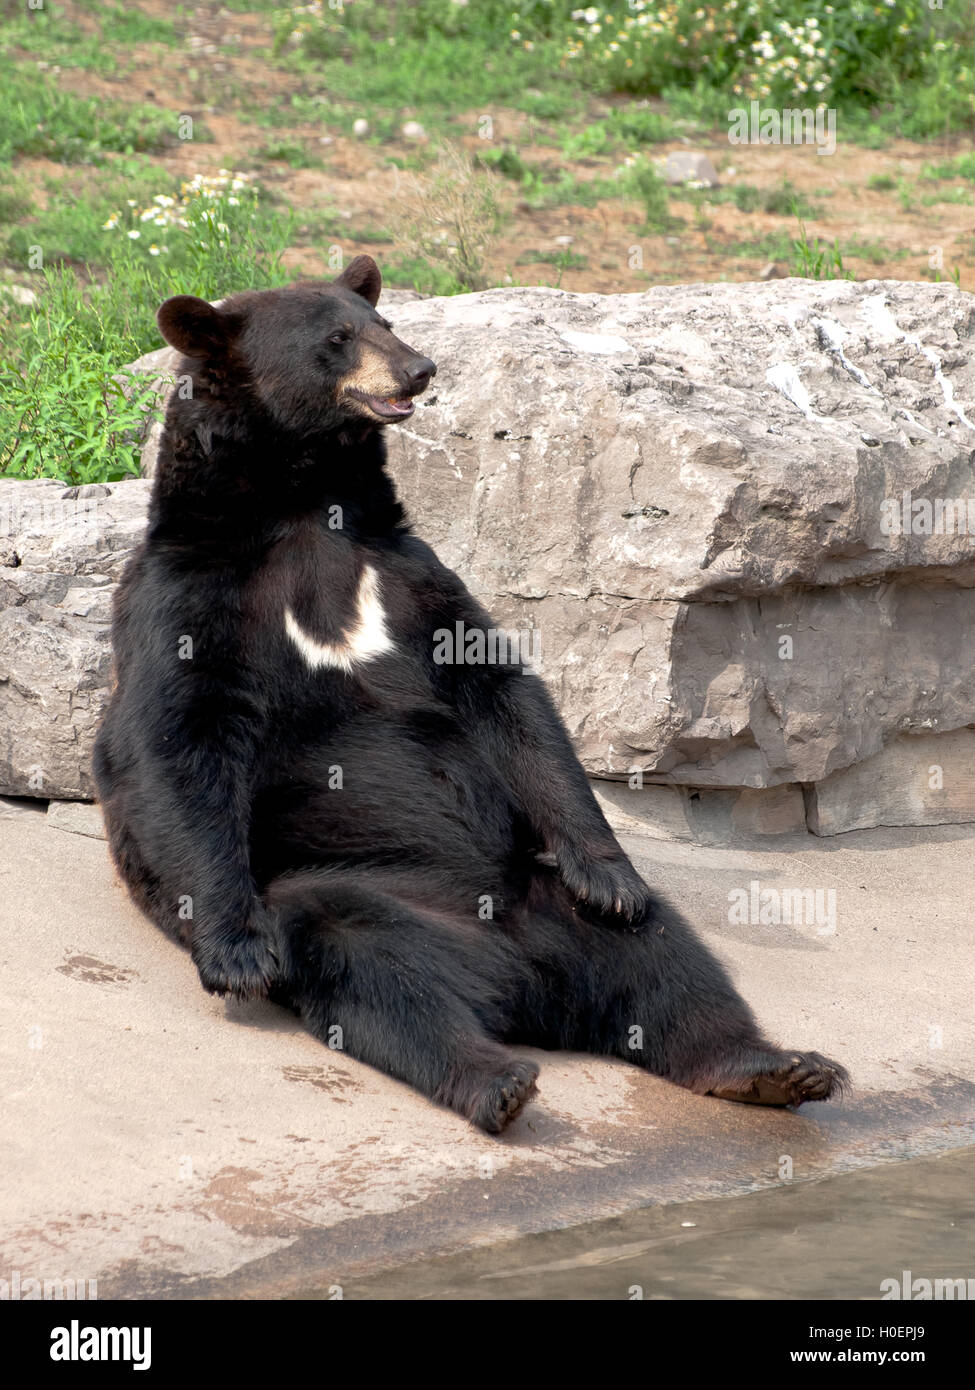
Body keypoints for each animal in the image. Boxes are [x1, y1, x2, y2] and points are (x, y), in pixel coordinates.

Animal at [93, 255, 848, 1134]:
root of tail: (519, 980)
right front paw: (236, 952)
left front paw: (610, 872)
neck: (304, 507)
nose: (420, 367)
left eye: (381, 321)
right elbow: (179, 734)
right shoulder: (193, 593)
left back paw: (769, 1065)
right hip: (347, 894)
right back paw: (496, 1079)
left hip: (547, 897)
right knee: (383, 982)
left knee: (672, 966)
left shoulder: (404, 571)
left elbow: (501, 689)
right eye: (336, 338)